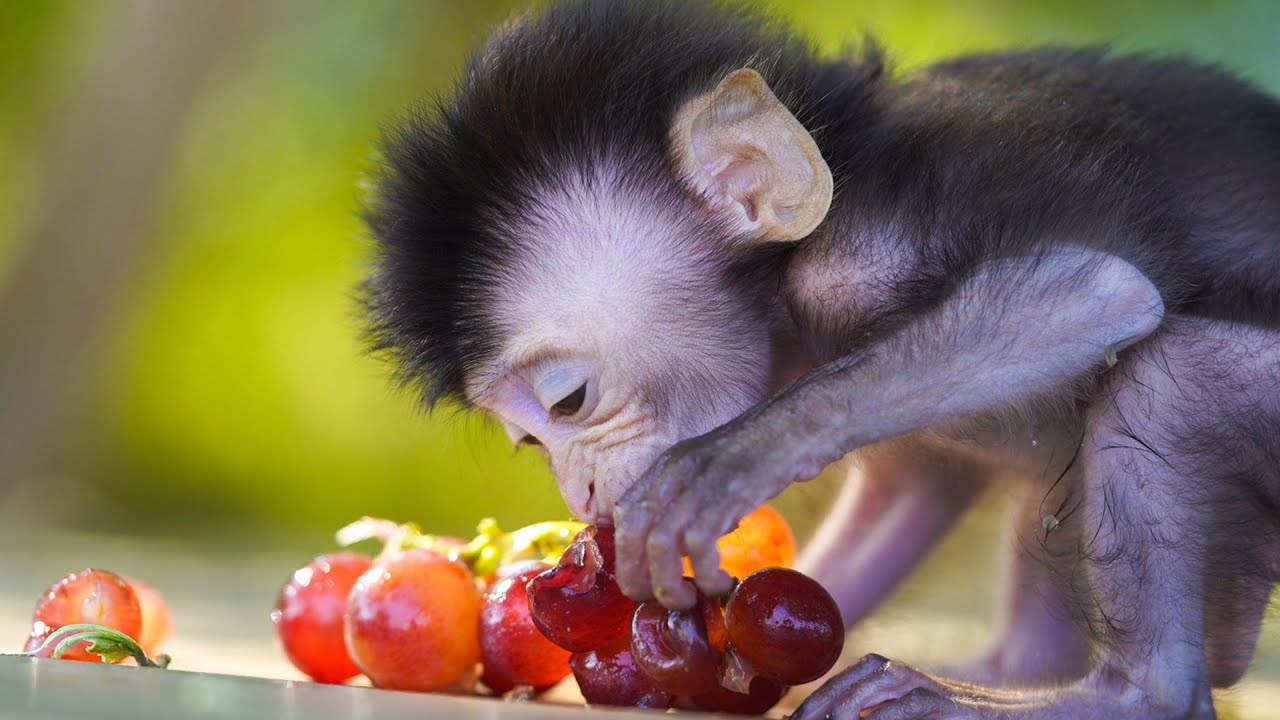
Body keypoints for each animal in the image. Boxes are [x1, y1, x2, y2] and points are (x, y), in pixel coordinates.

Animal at [361, 0, 1280, 717]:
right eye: (528, 441)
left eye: (567, 401)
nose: (578, 492)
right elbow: (913, 488)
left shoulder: (865, 255)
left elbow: (1093, 292)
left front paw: (720, 467)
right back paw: (1003, 675)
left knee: (1174, 378)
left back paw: (1124, 695)